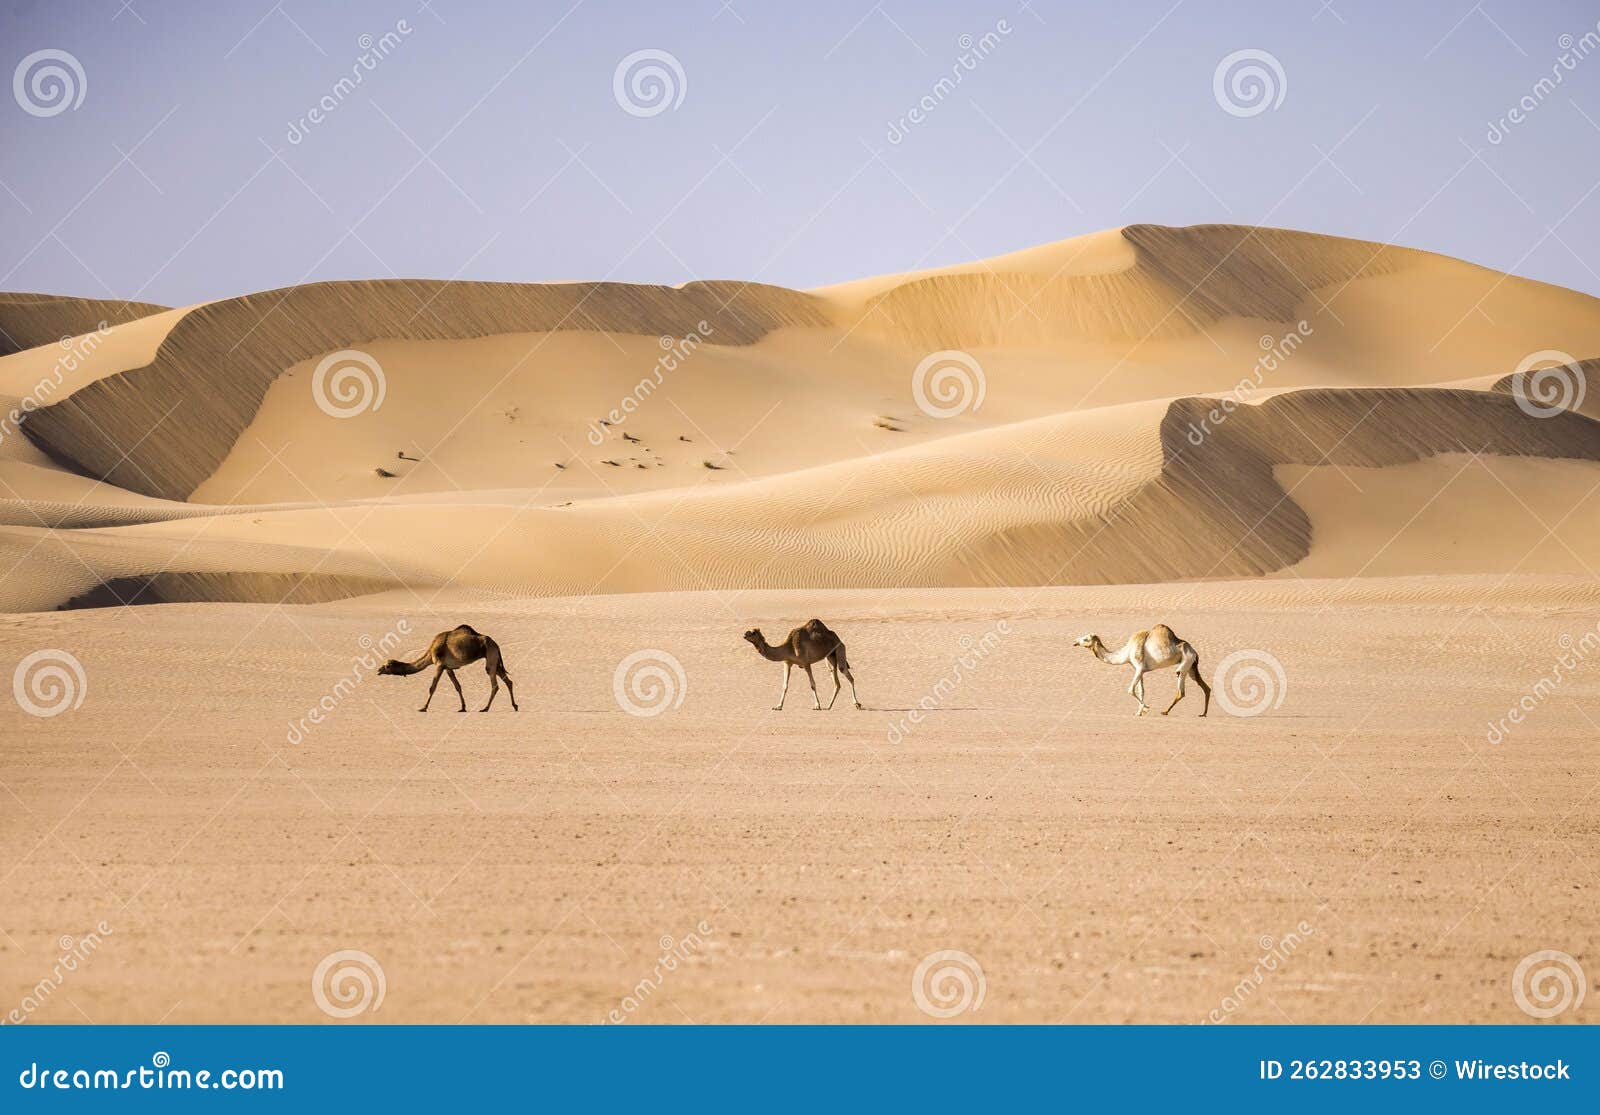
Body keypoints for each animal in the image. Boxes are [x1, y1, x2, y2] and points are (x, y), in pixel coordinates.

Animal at [378, 624, 517, 712]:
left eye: (387, 666)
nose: (379, 670)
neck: (430, 653)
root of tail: (496, 644)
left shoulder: (439, 665)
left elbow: (432, 687)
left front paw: (423, 708)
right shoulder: (448, 668)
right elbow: (458, 686)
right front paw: (463, 708)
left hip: (490, 656)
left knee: (494, 684)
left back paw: (485, 708)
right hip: (495, 660)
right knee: (508, 681)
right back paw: (514, 706)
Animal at [1075, 624, 1210, 717]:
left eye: (1086, 639)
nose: (1075, 641)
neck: (1127, 652)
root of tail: (1194, 651)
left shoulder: (1139, 667)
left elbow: (1130, 690)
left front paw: (1146, 708)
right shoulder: (1141, 670)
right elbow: (1141, 691)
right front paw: (1139, 712)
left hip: (1185, 664)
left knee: (1181, 689)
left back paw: (1165, 711)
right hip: (1192, 667)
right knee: (1205, 687)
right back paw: (1203, 714)